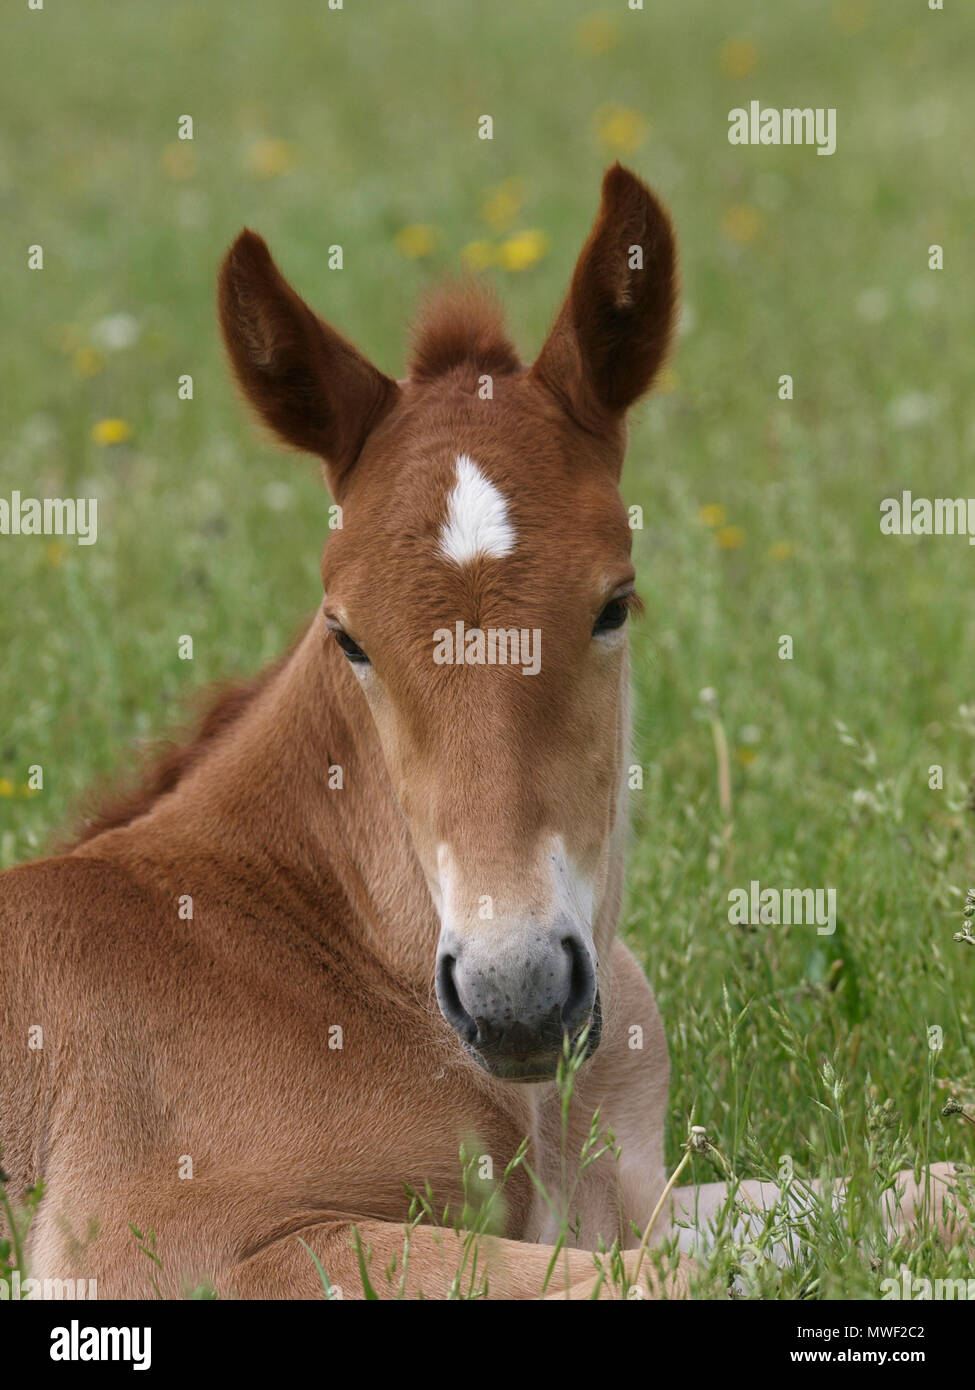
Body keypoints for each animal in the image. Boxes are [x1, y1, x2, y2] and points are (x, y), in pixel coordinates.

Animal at [0, 164, 959, 1299]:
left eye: (614, 603)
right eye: (348, 635)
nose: (518, 1000)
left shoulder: (627, 1196)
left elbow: (911, 1195)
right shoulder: (160, 1243)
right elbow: (679, 1280)